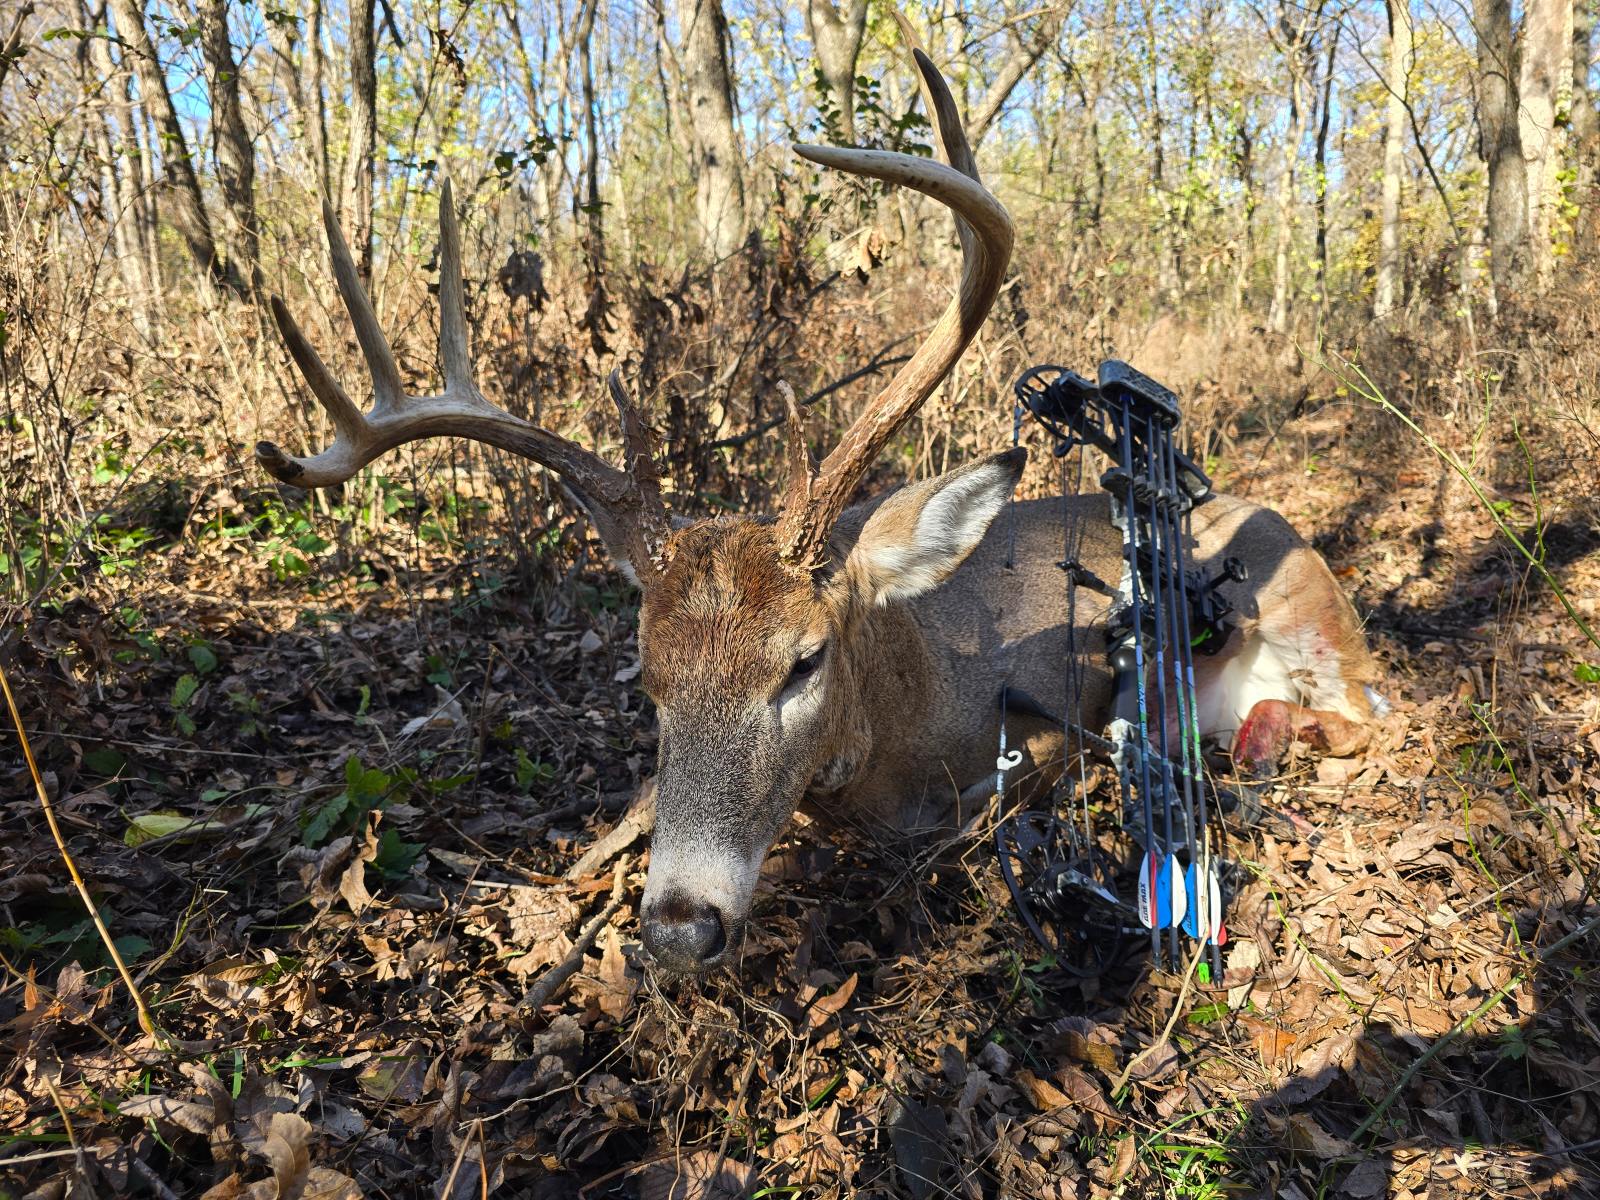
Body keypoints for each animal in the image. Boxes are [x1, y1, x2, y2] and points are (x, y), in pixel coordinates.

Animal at [258, 51, 1385, 975]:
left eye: (802, 661)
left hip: (1315, 611)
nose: (681, 929)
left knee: (1368, 717)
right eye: (648, 680)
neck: (905, 708)